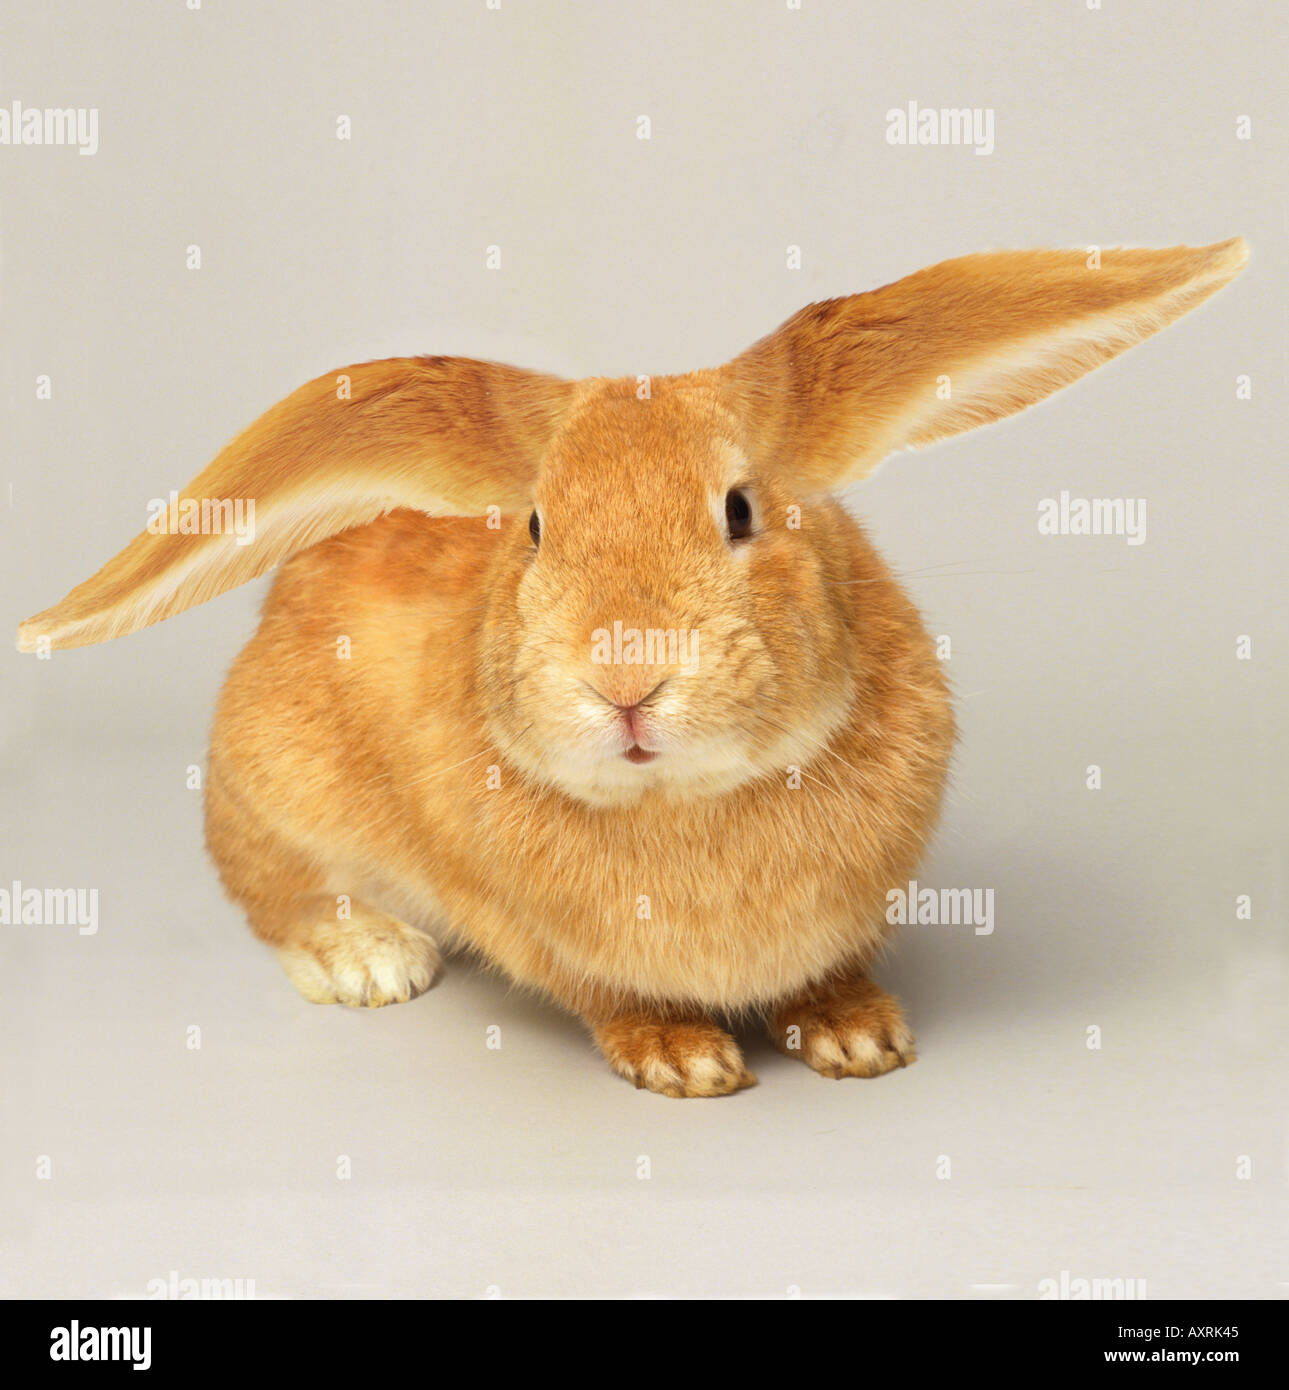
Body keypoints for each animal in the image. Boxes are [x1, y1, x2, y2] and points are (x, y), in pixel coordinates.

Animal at [18, 238, 1247, 1097]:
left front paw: (858, 1037)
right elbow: (603, 995)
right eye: (534, 528)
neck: (683, 800)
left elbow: (832, 976)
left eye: (740, 509)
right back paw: (367, 960)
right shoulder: (535, 931)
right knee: (271, 888)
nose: (625, 679)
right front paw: (681, 1059)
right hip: (265, 782)